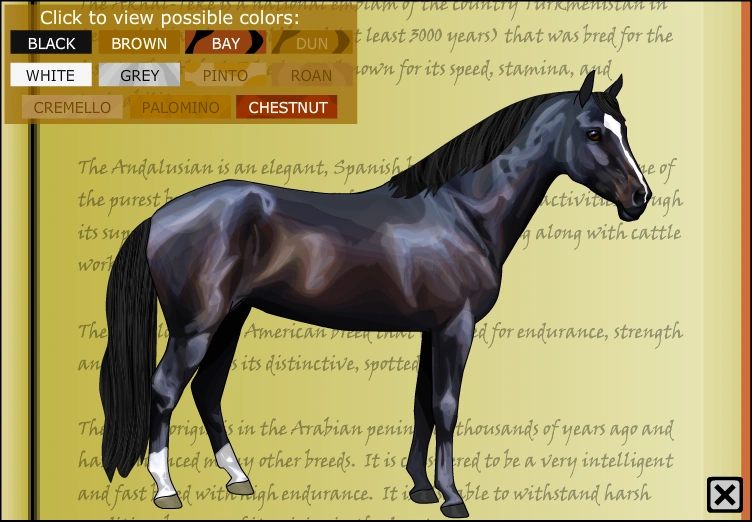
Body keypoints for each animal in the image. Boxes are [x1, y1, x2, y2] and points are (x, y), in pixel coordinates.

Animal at [99, 71, 651, 518]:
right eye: (594, 132)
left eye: (625, 128)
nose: (640, 197)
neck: (464, 212)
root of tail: (160, 216)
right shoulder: (456, 328)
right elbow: (446, 406)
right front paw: (453, 498)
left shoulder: (433, 329)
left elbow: (423, 405)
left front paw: (421, 489)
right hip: (196, 327)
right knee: (166, 389)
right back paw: (167, 489)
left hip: (230, 320)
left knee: (207, 392)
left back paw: (238, 478)